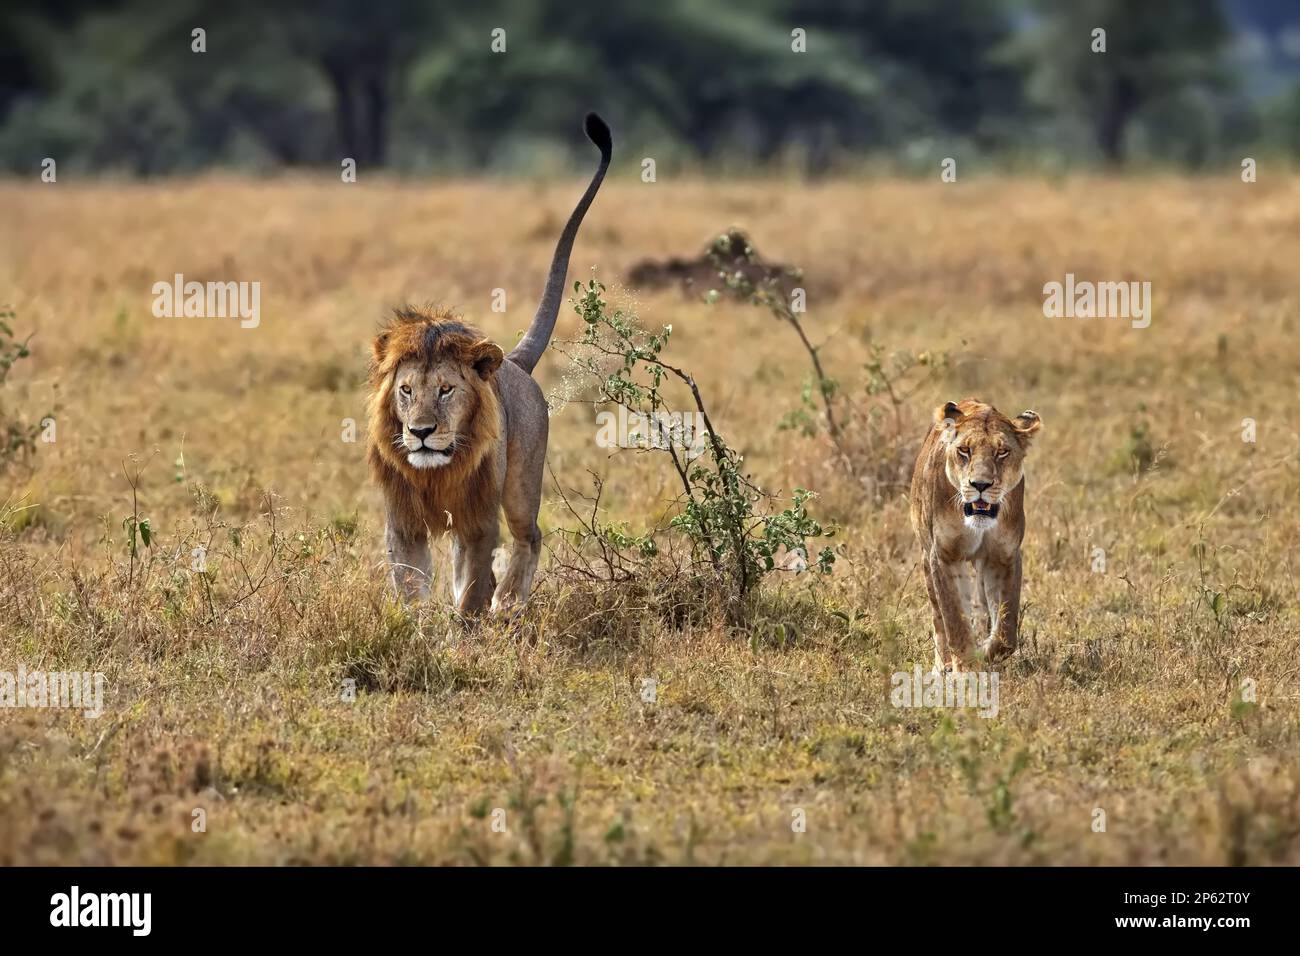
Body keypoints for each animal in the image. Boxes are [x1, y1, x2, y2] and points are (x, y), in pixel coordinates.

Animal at [366, 112, 611, 614]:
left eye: (446, 390)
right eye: (406, 391)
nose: (420, 431)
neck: (436, 473)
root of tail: (513, 363)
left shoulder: (478, 521)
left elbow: (473, 587)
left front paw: (469, 623)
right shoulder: (403, 525)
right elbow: (413, 588)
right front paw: (419, 626)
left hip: (520, 485)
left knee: (529, 536)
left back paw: (510, 602)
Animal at [909, 398, 1043, 671]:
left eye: (1002, 452)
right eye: (964, 450)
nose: (980, 485)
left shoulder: (1004, 557)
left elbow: (1005, 631)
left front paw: (984, 653)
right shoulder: (943, 556)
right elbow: (955, 621)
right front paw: (966, 669)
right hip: (928, 560)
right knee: (939, 618)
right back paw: (943, 666)